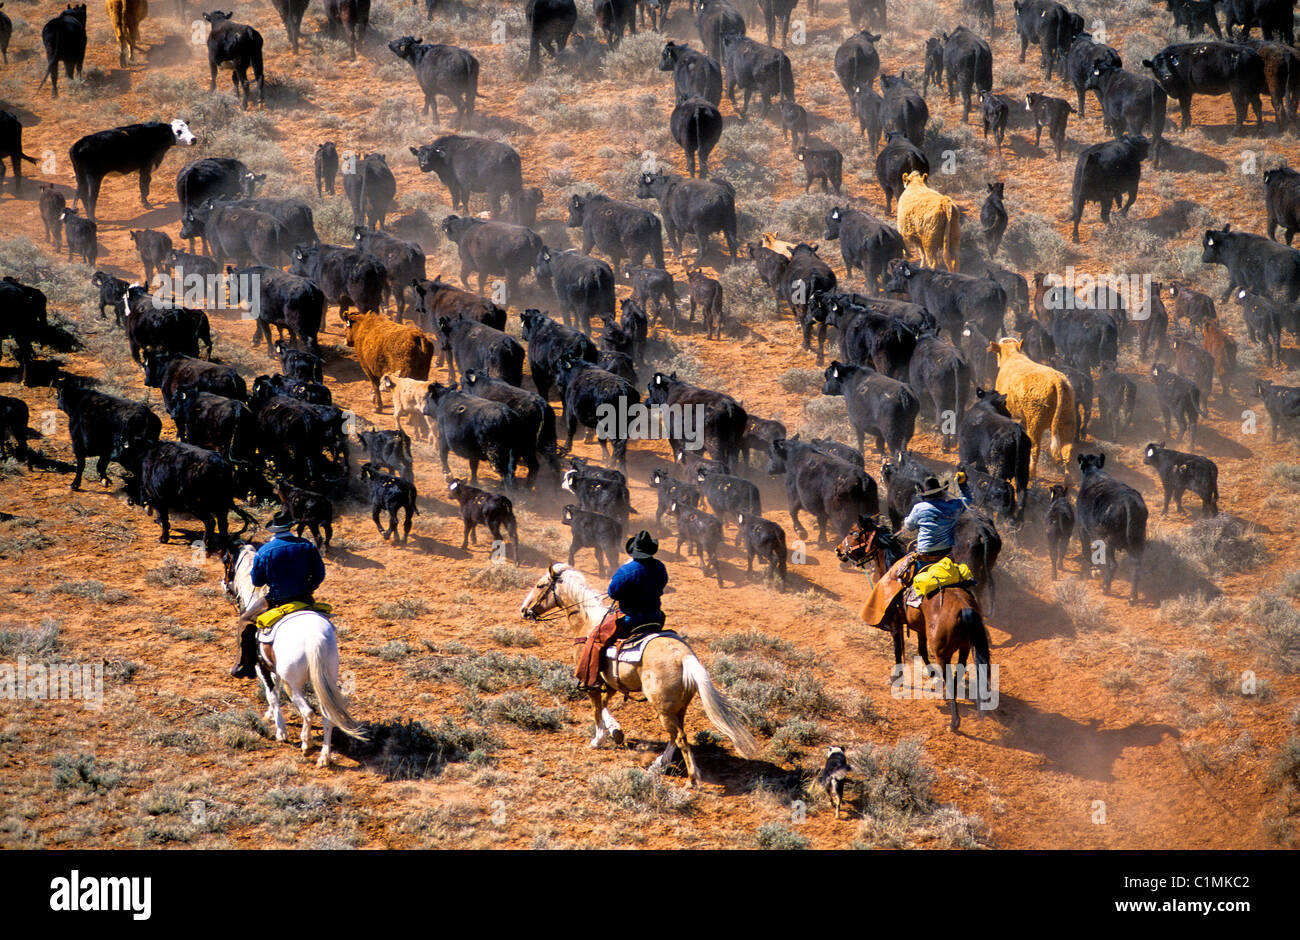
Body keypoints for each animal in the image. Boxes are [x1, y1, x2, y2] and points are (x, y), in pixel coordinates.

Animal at [70, 120, 198, 222]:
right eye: (178, 131)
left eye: (188, 128)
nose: (194, 139)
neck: (156, 134)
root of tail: (80, 143)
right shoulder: (146, 167)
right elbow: (144, 185)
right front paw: (146, 204)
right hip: (94, 177)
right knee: (91, 197)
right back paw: (93, 218)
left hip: (80, 177)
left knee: (83, 195)